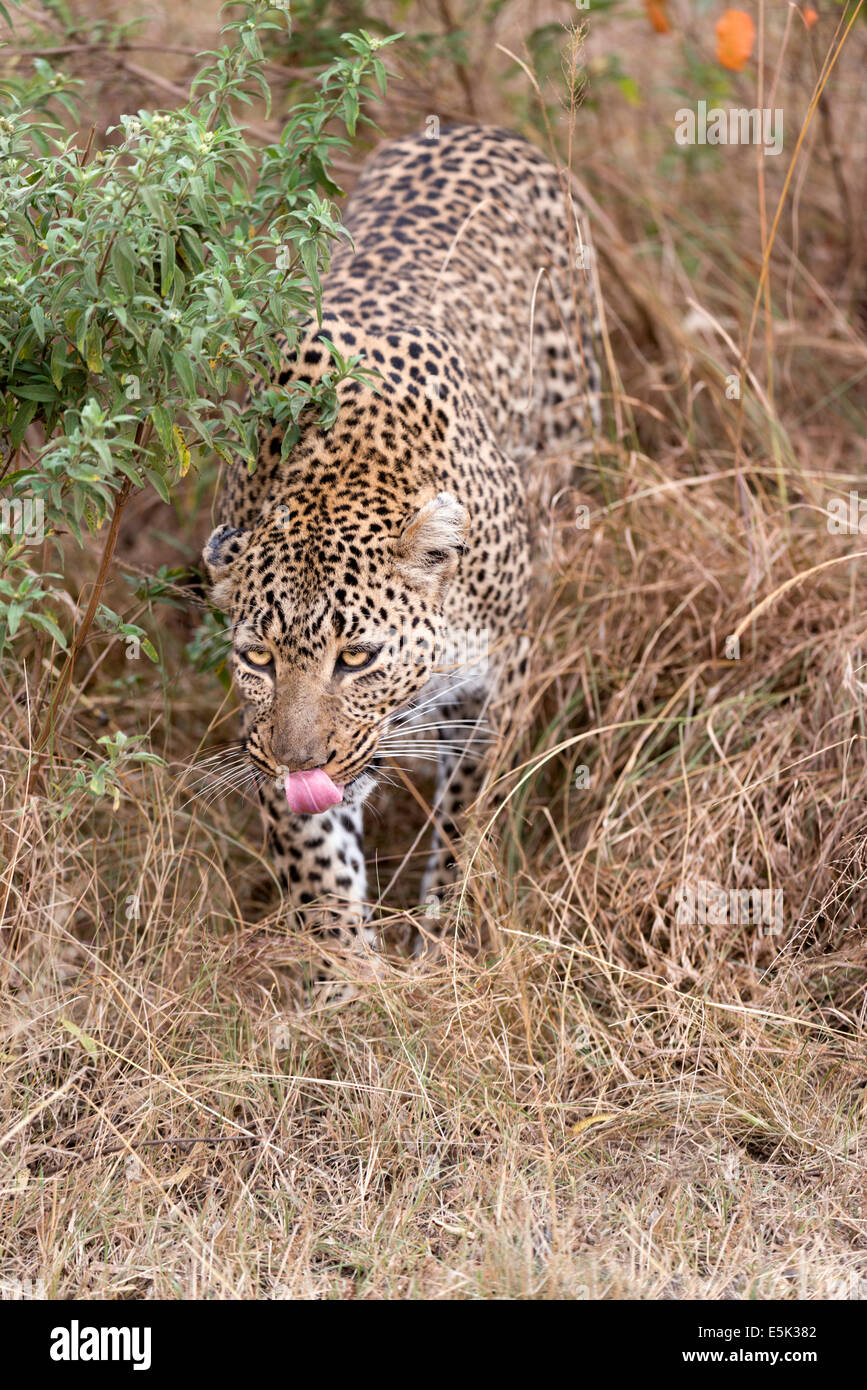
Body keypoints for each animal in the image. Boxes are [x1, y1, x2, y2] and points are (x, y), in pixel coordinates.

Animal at [202, 124, 601, 977]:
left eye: (357, 658)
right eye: (257, 658)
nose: (300, 764)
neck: (337, 473)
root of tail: (477, 129)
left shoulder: (502, 670)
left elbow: (468, 811)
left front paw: (447, 941)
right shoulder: (260, 731)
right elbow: (316, 863)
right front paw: (347, 982)